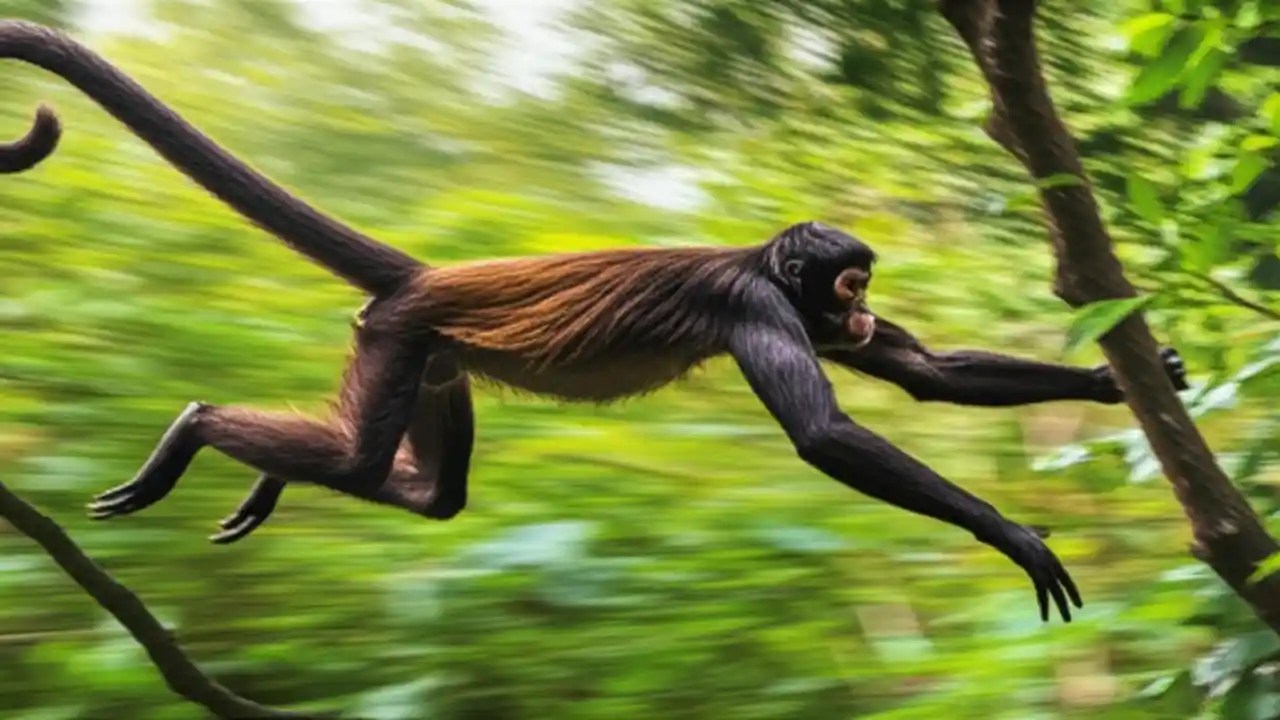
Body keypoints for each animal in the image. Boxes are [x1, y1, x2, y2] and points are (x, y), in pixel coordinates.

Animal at [1, 21, 1191, 623]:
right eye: (846, 286)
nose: (855, 313)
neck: (757, 261)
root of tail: (432, 277)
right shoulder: (758, 304)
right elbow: (826, 435)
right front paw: (1012, 534)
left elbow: (928, 373)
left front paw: (1111, 382)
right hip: (398, 336)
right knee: (360, 459)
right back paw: (197, 428)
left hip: (430, 358)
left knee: (427, 492)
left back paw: (272, 472)